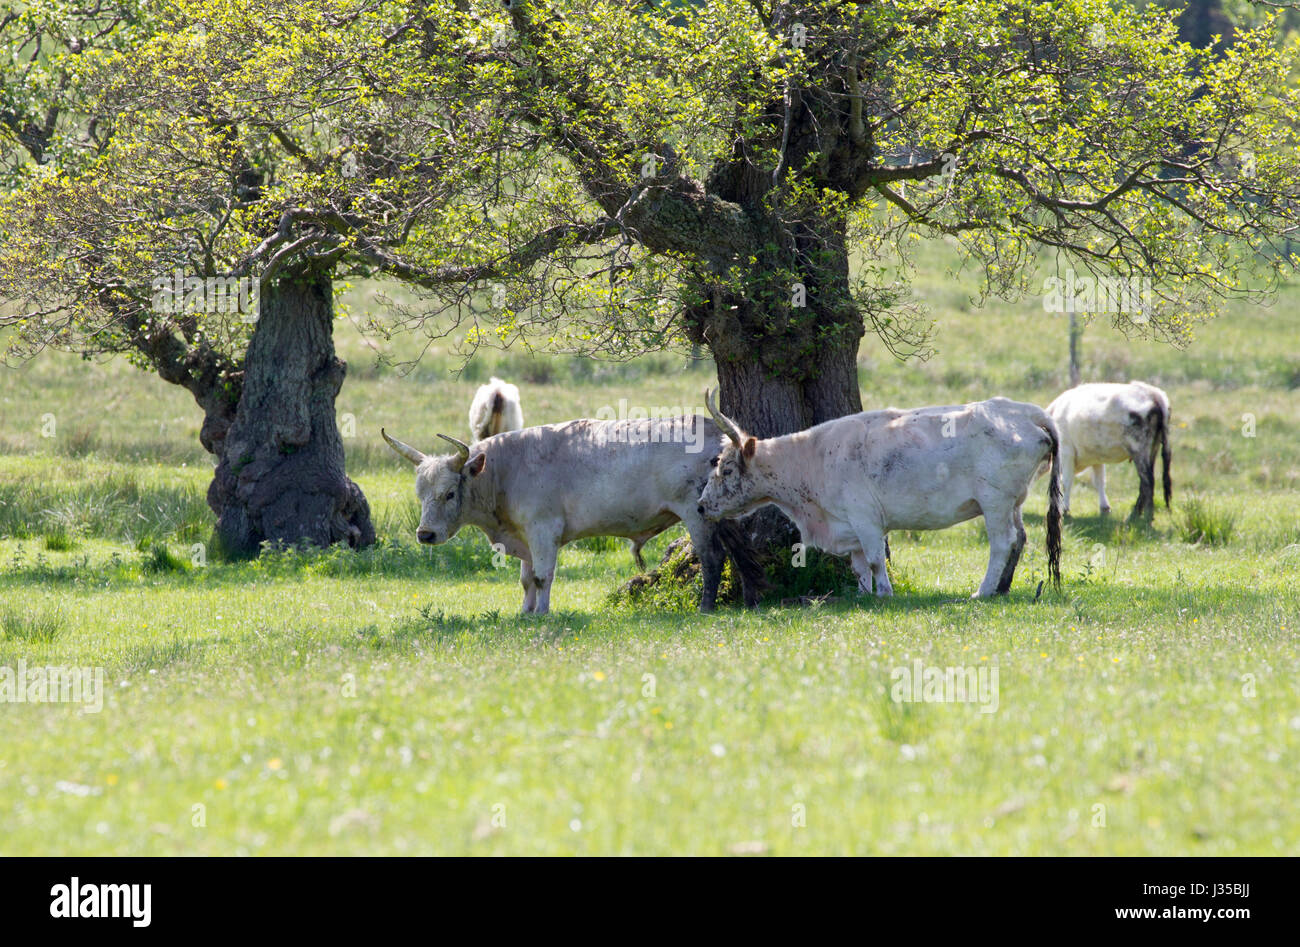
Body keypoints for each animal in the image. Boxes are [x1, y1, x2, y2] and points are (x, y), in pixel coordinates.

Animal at [382, 417, 763, 614]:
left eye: (449, 493)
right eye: (420, 494)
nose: (425, 534)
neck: (505, 471)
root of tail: (713, 430)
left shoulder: (543, 530)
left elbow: (541, 577)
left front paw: (541, 614)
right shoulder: (525, 535)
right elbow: (526, 579)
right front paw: (524, 613)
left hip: (696, 514)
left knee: (712, 557)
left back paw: (705, 607)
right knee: (738, 552)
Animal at [697, 390, 1062, 599]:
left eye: (726, 470)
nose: (701, 506)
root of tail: (1023, 411)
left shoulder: (865, 518)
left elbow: (873, 560)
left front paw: (884, 594)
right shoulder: (848, 524)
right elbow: (859, 565)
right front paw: (862, 596)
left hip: (995, 501)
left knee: (1002, 541)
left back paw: (983, 591)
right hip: (1013, 501)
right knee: (1020, 538)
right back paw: (1002, 587)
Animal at [1042, 381, 1171, 520]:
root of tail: (1153, 394)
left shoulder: (1067, 452)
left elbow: (1066, 482)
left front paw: (1065, 509)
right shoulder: (1096, 458)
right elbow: (1099, 482)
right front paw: (1104, 508)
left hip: (1138, 449)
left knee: (1148, 481)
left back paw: (1146, 517)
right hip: (1153, 448)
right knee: (1145, 483)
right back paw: (1134, 515)